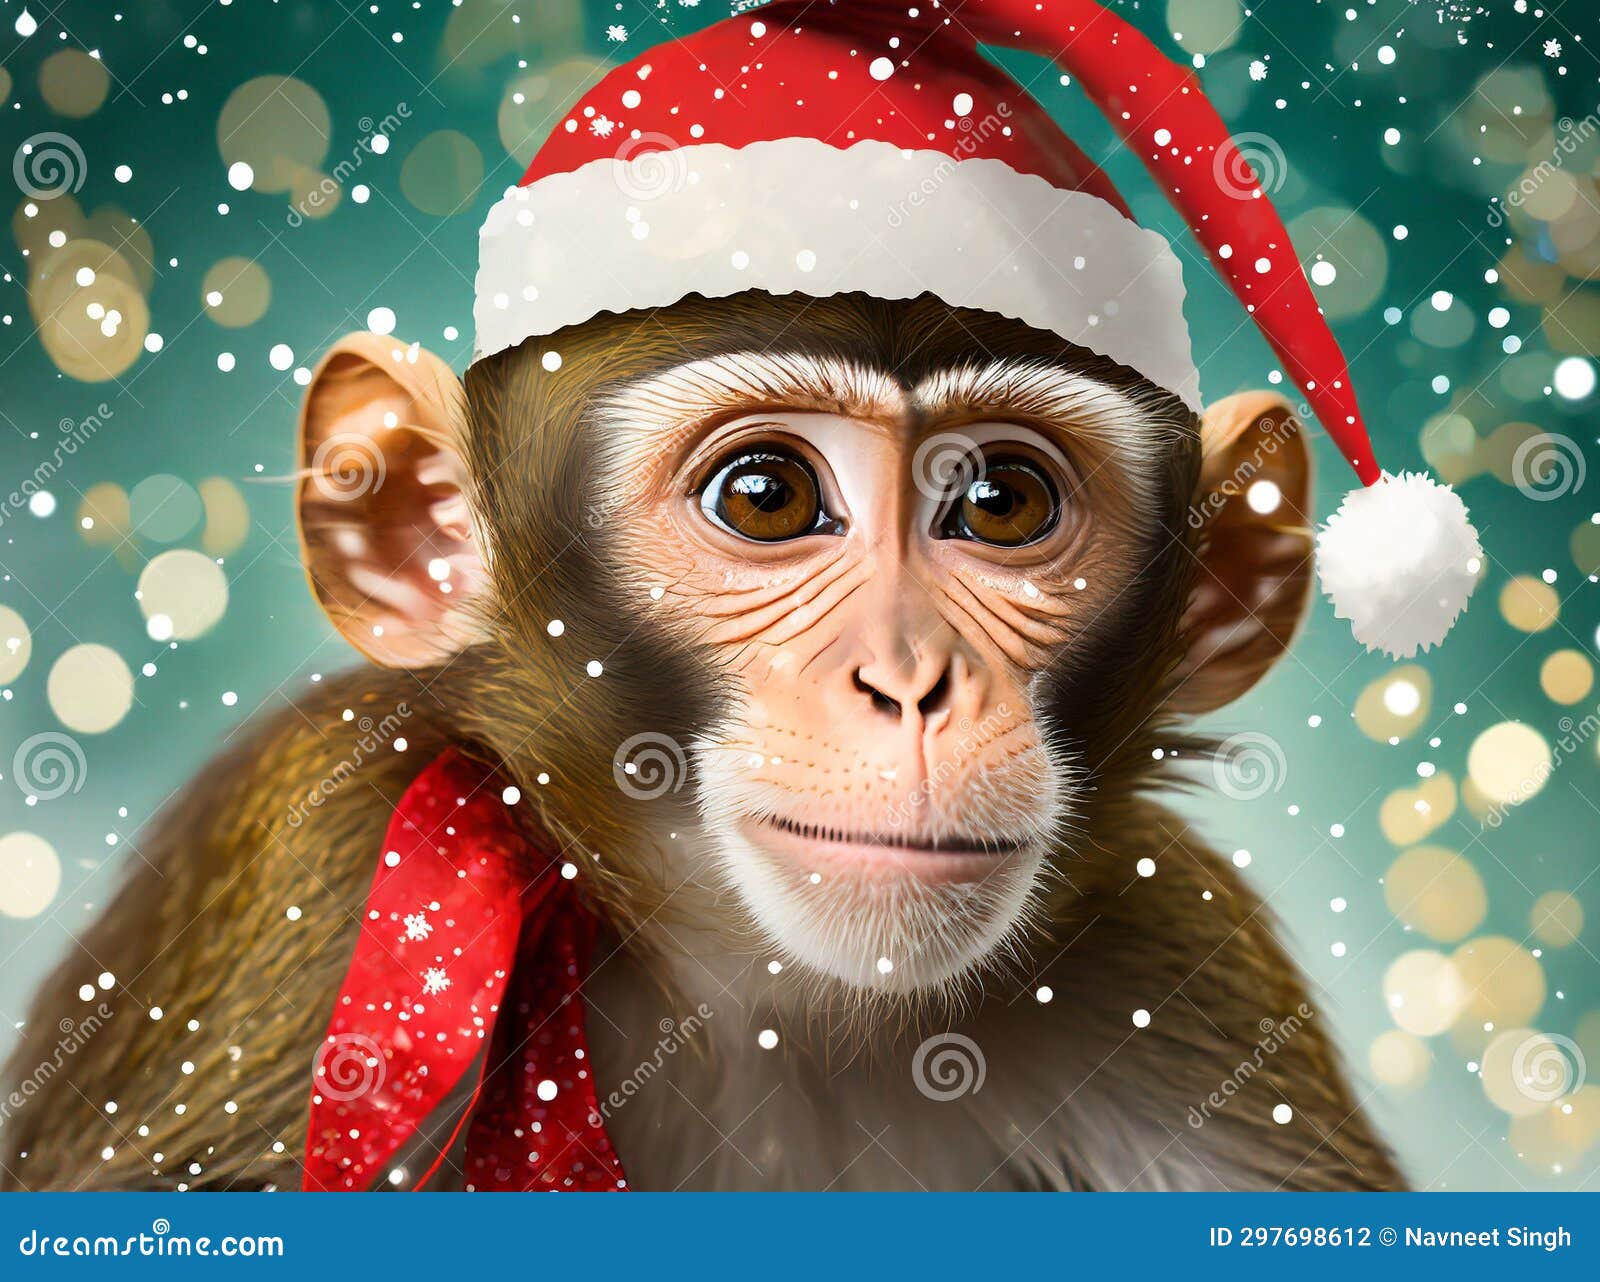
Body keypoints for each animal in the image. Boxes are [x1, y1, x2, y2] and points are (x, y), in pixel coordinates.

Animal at [0, 290, 1404, 1192]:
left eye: (1002, 502)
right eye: (767, 494)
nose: (911, 681)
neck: (776, 1010)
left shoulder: (1174, 964)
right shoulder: (333, 885)